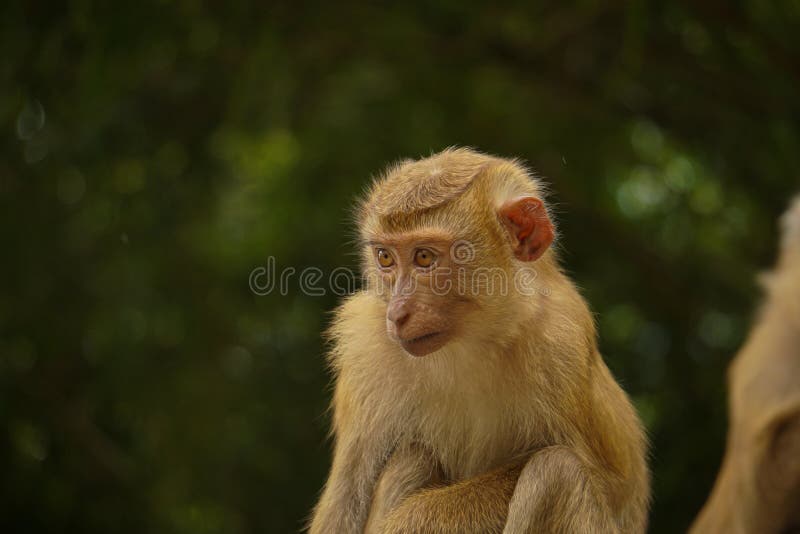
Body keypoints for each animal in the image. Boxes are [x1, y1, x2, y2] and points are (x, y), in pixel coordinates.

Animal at [308, 147, 650, 534]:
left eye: (424, 257)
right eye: (385, 257)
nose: (397, 313)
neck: (469, 344)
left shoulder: (562, 342)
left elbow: (605, 484)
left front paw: (413, 519)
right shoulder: (363, 346)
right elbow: (343, 508)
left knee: (555, 471)